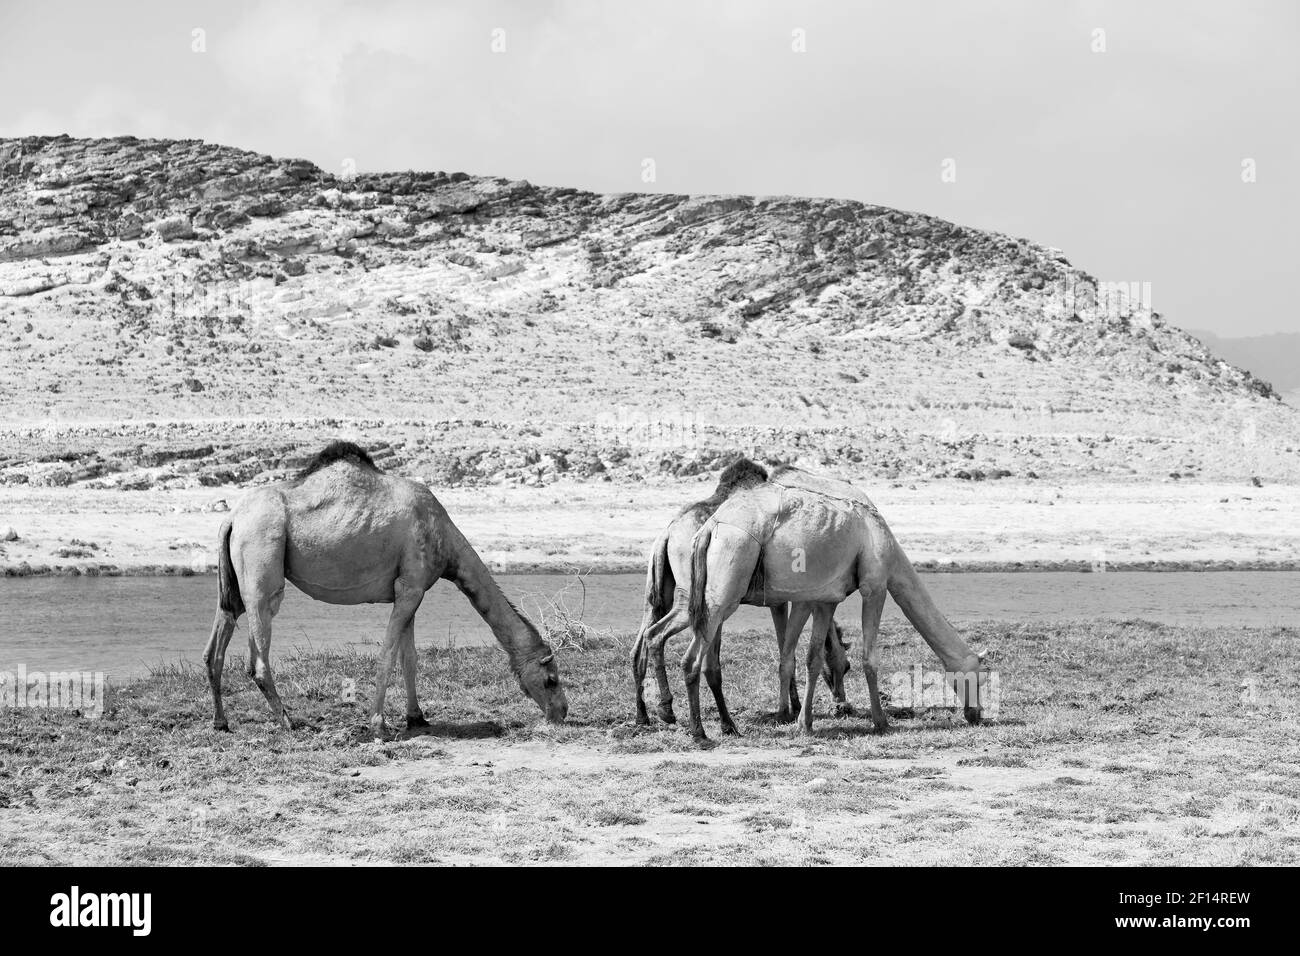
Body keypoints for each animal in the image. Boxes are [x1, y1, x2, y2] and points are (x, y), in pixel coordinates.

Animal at [202, 441, 568, 739]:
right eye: (550, 678)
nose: (562, 712)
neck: (444, 538)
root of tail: (231, 518)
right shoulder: (409, 587)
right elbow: (388, 655)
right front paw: (378, 725)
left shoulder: (412, 590)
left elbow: (410, 658)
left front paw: (417, 718)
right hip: (262, 561)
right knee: (259, 654)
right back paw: (289, 723)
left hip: (233, 580)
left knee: (219, 637)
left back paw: (221, 722)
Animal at [630, 458, 852, 732]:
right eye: (846, 667)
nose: (843, 706)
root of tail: (667, 534)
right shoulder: (781, 600)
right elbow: (786, 648)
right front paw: (792, 708)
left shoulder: (777, 600)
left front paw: (791, 707)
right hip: (690, 599)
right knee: (656, 635)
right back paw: (667, 709)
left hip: (660, 592)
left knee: (640, 643)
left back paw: (644, 715)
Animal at [683, 466, 986, 739]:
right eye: (979, 677)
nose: (977, 714)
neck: (886, 544)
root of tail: (709, 527)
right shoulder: (875, 586)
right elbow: (869, 658)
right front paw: (881, 721)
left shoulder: (822, 599)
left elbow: (806, 657)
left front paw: (800, 722)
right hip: (729, 579)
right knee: (691, 658)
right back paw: (700, 733)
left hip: (717, 592)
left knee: (705, 657)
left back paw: (726, 726)